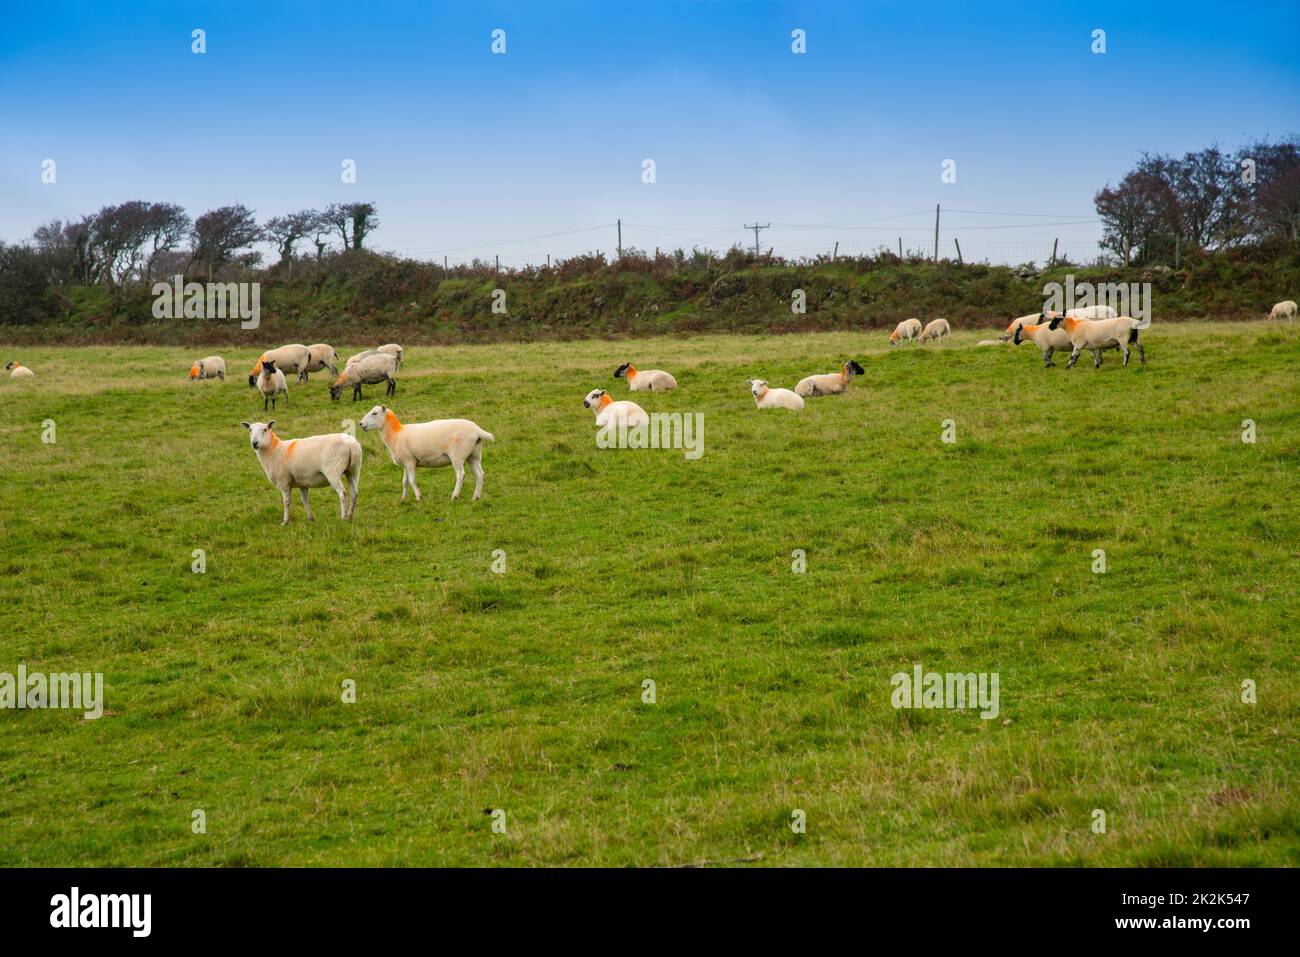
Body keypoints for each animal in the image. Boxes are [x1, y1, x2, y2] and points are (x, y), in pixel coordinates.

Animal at [359, 404, 494, 501]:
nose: (360, 424)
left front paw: (419, 497)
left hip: (457, 455)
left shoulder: (410, 461)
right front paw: (404, 499)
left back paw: (454, 496)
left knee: (461, 475)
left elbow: (412, 480)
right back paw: (475, 497)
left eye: (374, 413)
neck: (396, 433)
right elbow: (404, 481)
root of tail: (477, 430)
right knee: (480, 474)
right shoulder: (405, 463)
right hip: (474, 455)